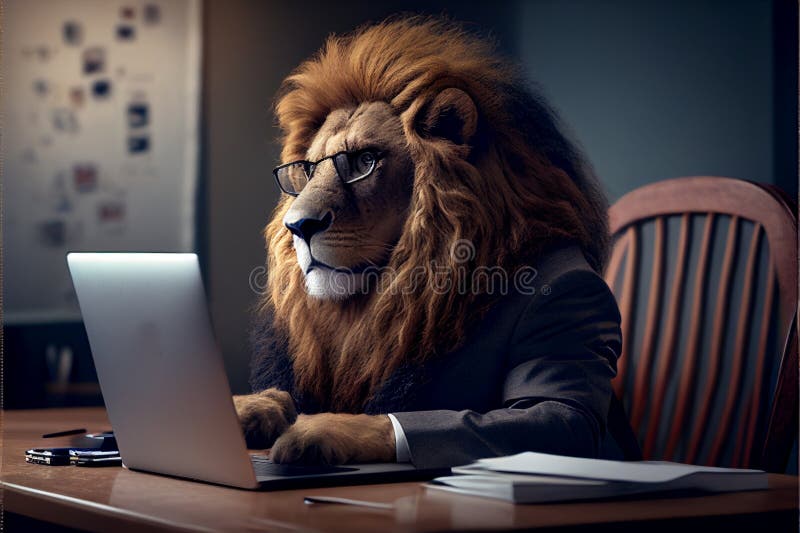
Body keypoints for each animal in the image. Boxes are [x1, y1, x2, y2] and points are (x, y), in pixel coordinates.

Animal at [233, 16, 622, 467]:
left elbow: (556, 415)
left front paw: (319, 429)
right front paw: (256, 405)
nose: (298, 225)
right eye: (307, 170)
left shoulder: (563, 323)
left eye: (363, 161)